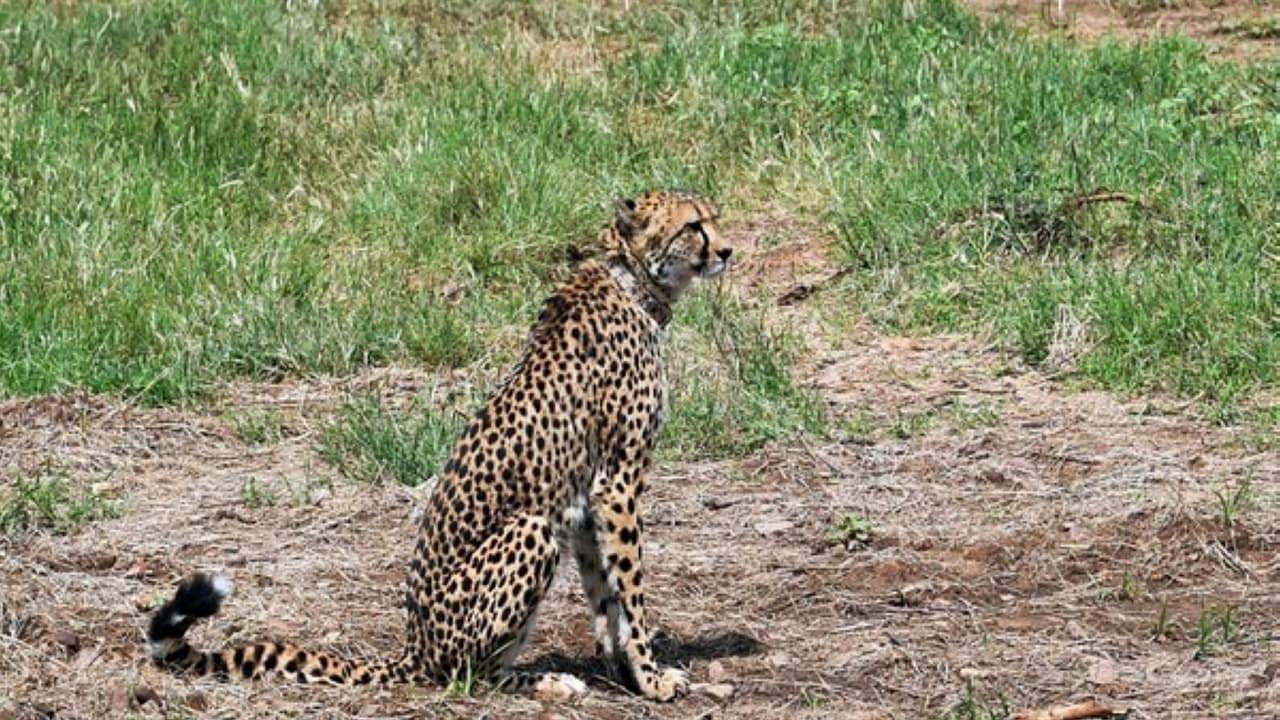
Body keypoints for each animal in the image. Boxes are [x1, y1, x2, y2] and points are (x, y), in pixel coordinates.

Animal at [147, 189, 733, 702]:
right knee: (466, 674)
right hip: (529, 530)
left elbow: (604, 594)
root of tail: (414, 648)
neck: (631, 281)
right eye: (693, 226)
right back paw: (545, 681)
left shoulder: (588, 500)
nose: (727, 250)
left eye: (714, 218)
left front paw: (622, 669)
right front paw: (651, 678)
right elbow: (630, 591)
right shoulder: (618, 483)